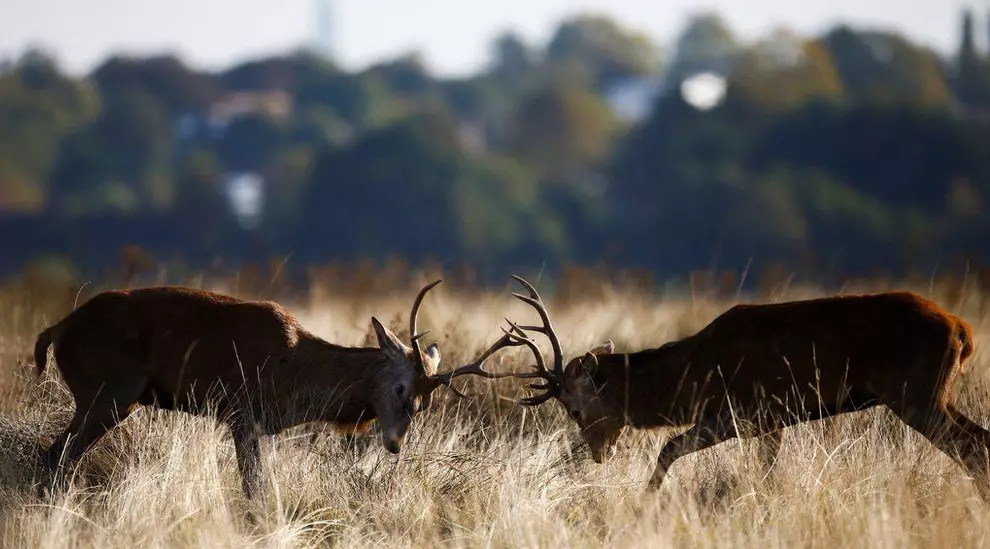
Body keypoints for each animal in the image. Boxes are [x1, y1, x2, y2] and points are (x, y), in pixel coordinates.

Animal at [35, 280, 524, 498]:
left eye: (425, 404)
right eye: (402, 388)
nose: (394, 444)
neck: (295, 383)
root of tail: (56, 330)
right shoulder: (240, 410)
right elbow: (254, 487)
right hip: (109, 390)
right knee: (55, 454)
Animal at [496, 276, 990, 498]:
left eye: (575, 409)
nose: (600, 454)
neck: (692, 375)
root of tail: (962, 329)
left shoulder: (744, 410)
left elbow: (670, 447)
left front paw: (645, 503)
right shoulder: (769, 420)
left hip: (917, 392)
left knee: (971, 445)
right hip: (930, 393)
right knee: (978, 441)